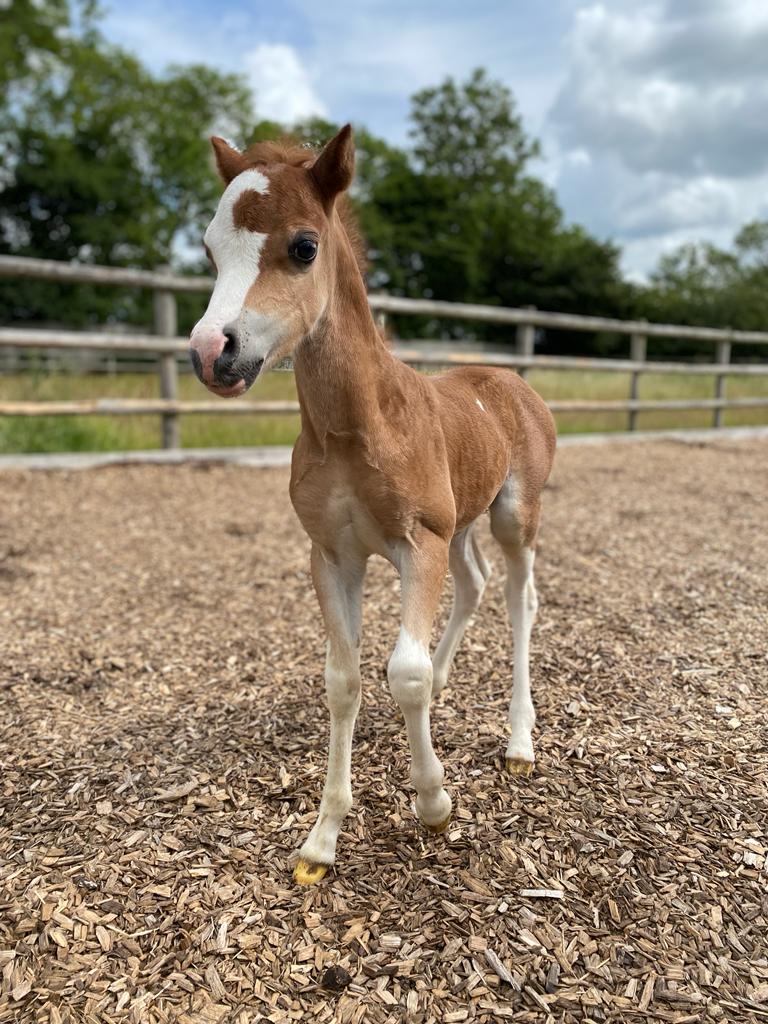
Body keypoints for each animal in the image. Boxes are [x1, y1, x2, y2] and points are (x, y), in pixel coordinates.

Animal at [189, 125, 557, 885]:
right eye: (210, 249)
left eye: (304, 246)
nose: (212, 353)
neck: (357, 427)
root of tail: (513, 382)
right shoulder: (334, 555)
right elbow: (345, 679)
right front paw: (322, 840)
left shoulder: (418, 543)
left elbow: (402, 673)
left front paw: (434, 801)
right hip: (463, 523)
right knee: (475, 585)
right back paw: (451, 682)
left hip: (514, 517)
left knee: (519, 602)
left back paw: (519, 741)